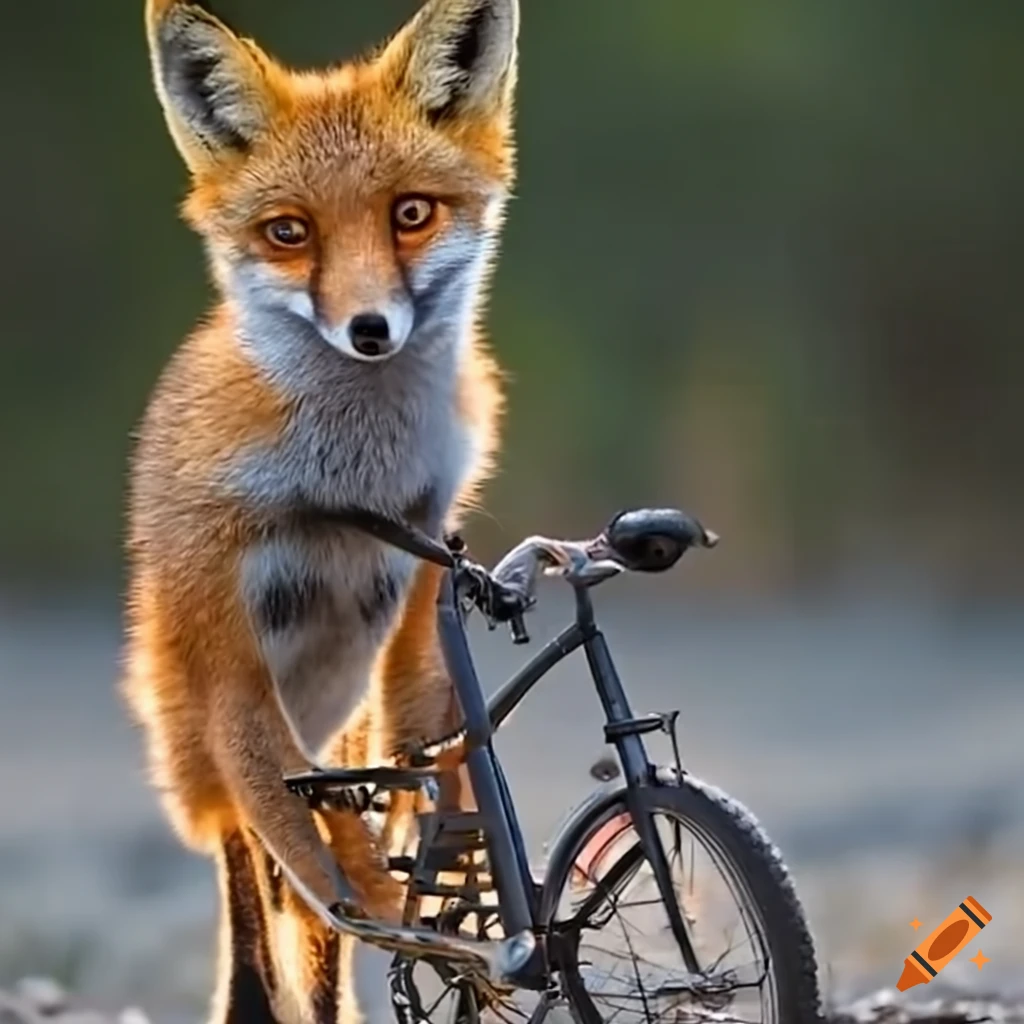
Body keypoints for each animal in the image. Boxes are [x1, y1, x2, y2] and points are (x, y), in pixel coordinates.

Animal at [122, 0, 518, 1021]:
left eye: (410, 214)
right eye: (289, 232)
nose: (369, 330)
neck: (349, 479)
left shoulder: (428, 541)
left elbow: (419, 733)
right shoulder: (230, 651)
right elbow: (310, 861)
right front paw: (418, 920)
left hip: (334, 703)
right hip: (194, 733)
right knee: (252, 862)